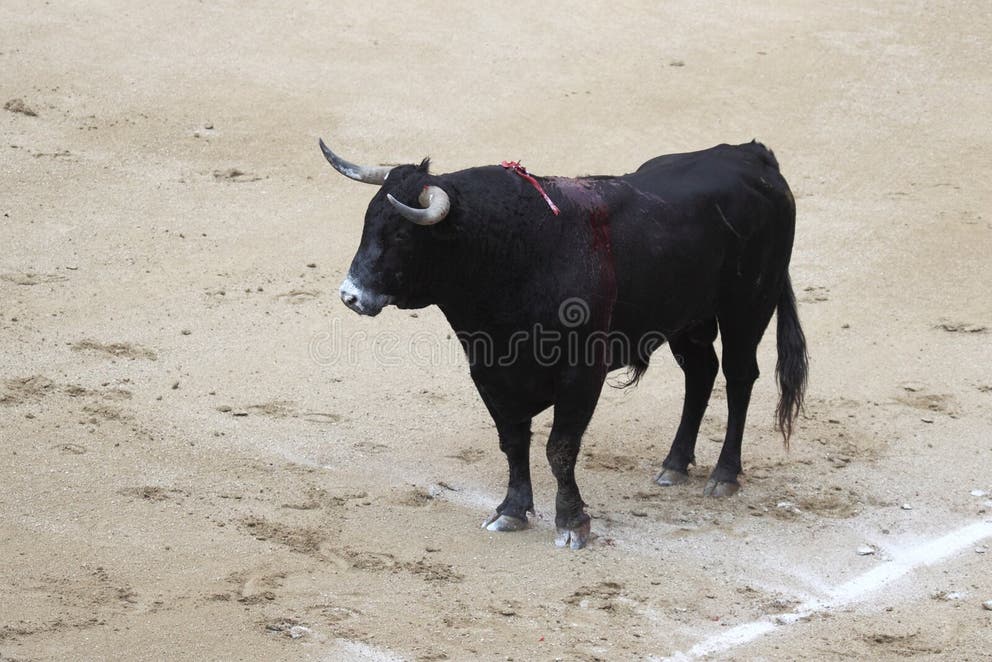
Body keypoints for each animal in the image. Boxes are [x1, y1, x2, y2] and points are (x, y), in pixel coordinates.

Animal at [320, 138, 808, 550]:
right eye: (367, 223)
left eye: (402, 235)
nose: (350, 295)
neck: (514, 252)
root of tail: (753, 155)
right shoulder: (489, 369)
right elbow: (513, 441)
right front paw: (512, 511)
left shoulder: (581, 373)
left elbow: (560, 447)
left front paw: (573, 523)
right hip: (690, 320)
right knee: (701, 374)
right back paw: (673, 465)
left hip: (748, 307)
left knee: (739, 378)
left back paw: (724, 475)